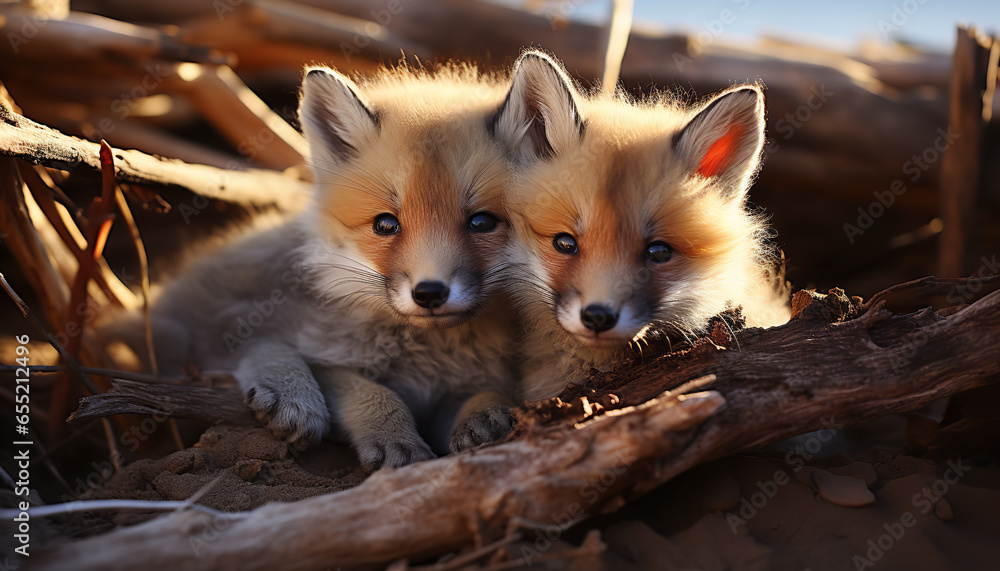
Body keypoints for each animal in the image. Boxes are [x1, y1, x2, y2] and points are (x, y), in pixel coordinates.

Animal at [110, 64, 521, 468]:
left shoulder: (457, 389)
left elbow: (484, 396)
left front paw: (485, 418)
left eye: (481, 222)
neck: (426, 357)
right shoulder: (320, 352)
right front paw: (393, 438)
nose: (430, 293)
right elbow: (373, 394)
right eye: (386, 225)